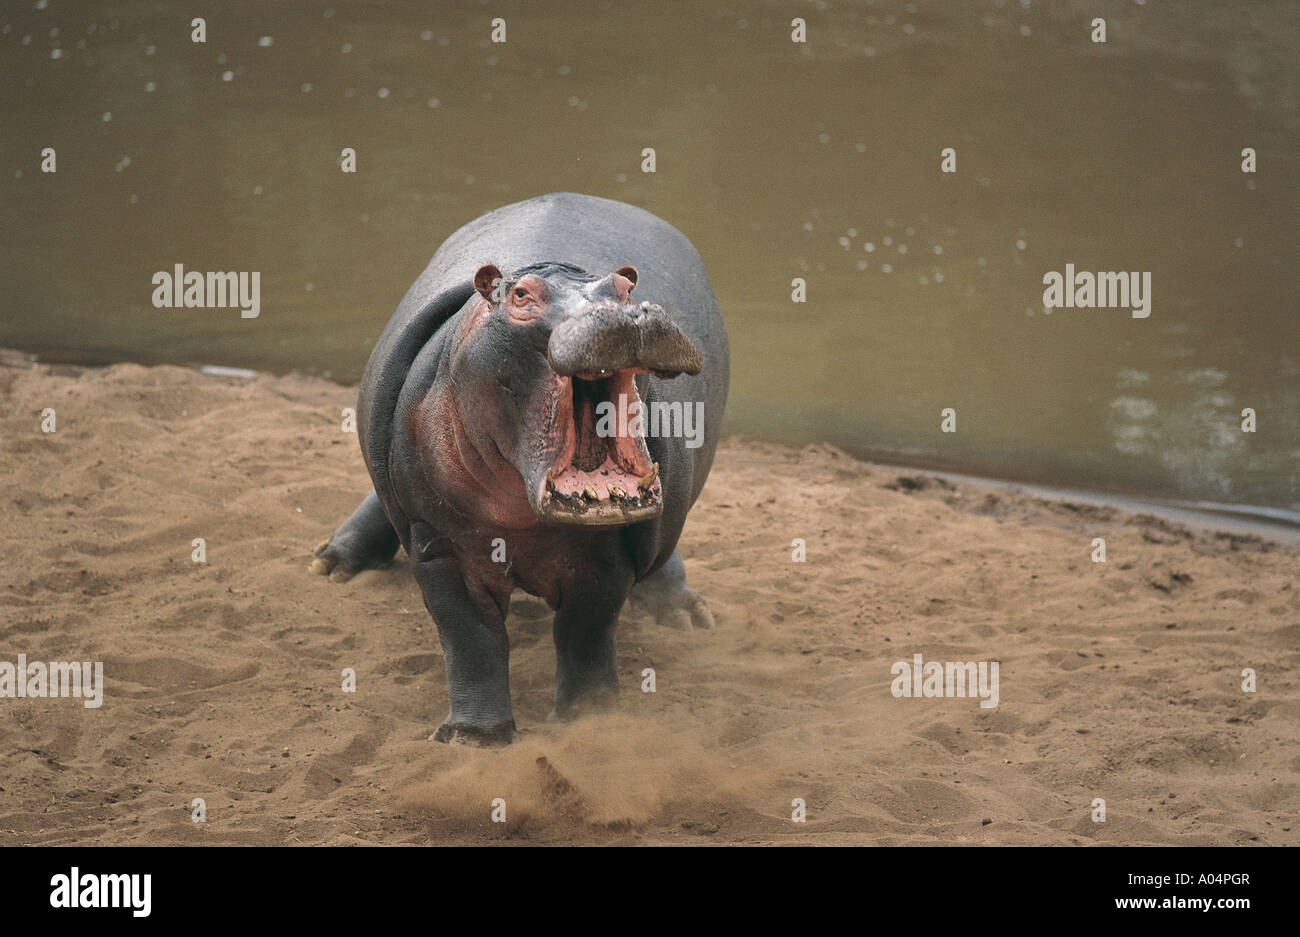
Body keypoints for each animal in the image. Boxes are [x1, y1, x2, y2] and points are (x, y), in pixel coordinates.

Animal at [309, 192, 729, 745]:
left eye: (626, 288)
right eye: (522, 295)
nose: (628, 313)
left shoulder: (607, 556)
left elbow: (585, 635)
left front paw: (589, 721)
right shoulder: (437, 545)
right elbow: (471, 639)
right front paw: (474, 737)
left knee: (662, 551)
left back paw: (685, 616)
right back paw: (330, 566)